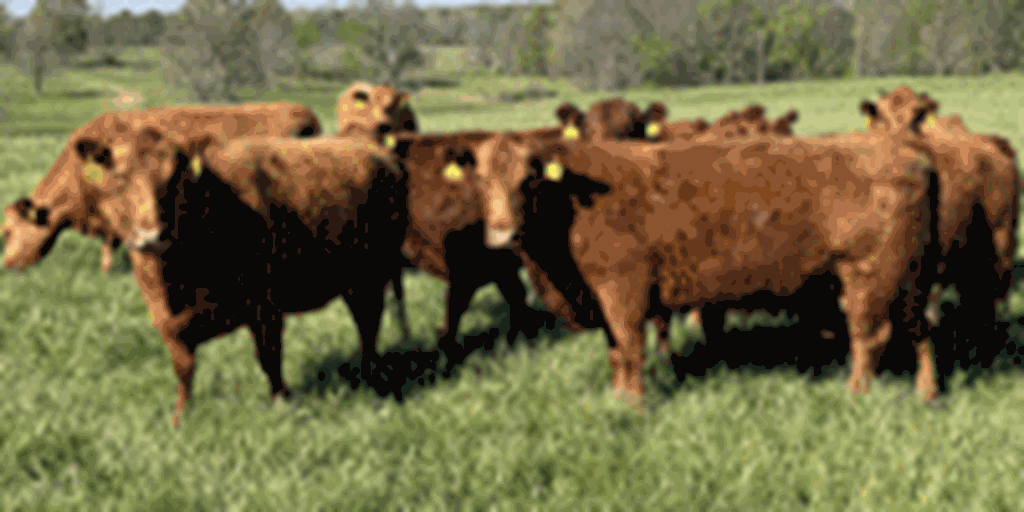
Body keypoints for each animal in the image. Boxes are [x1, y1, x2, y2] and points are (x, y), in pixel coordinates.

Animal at [474, 99, 939, 407]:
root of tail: (904, 150)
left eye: (529, 179)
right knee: (919, 328)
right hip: (909, 277)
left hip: (870, 274)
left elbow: (629, 346)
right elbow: (615, 351)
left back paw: (855, 395)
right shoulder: (599, 295)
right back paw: (926, 393)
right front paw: (616, 397)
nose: (500, 233)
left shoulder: (622, 287)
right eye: (480, 180)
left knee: (870, 337)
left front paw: (633, 405)